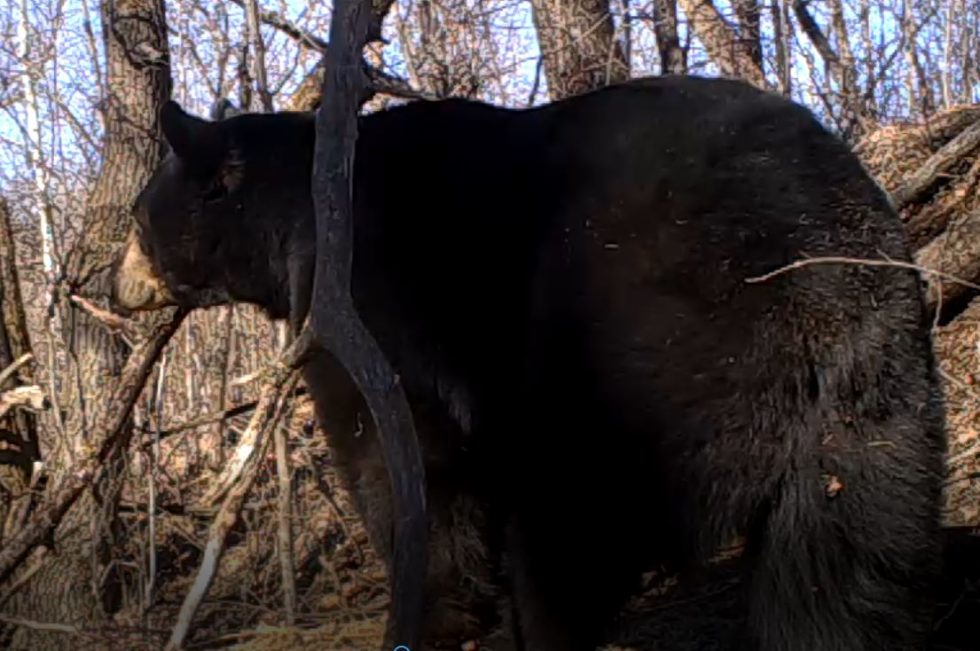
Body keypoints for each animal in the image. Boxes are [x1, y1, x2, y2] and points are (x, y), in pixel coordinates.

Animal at [111, 74, 947, 651]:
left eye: (136, 220)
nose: (114, 288)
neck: (293, 222)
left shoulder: (371, 308)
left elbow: (404, 458)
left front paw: (432, 611)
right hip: (876, 401)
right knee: (841, 566)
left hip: (621, 370)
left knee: (565, 522)